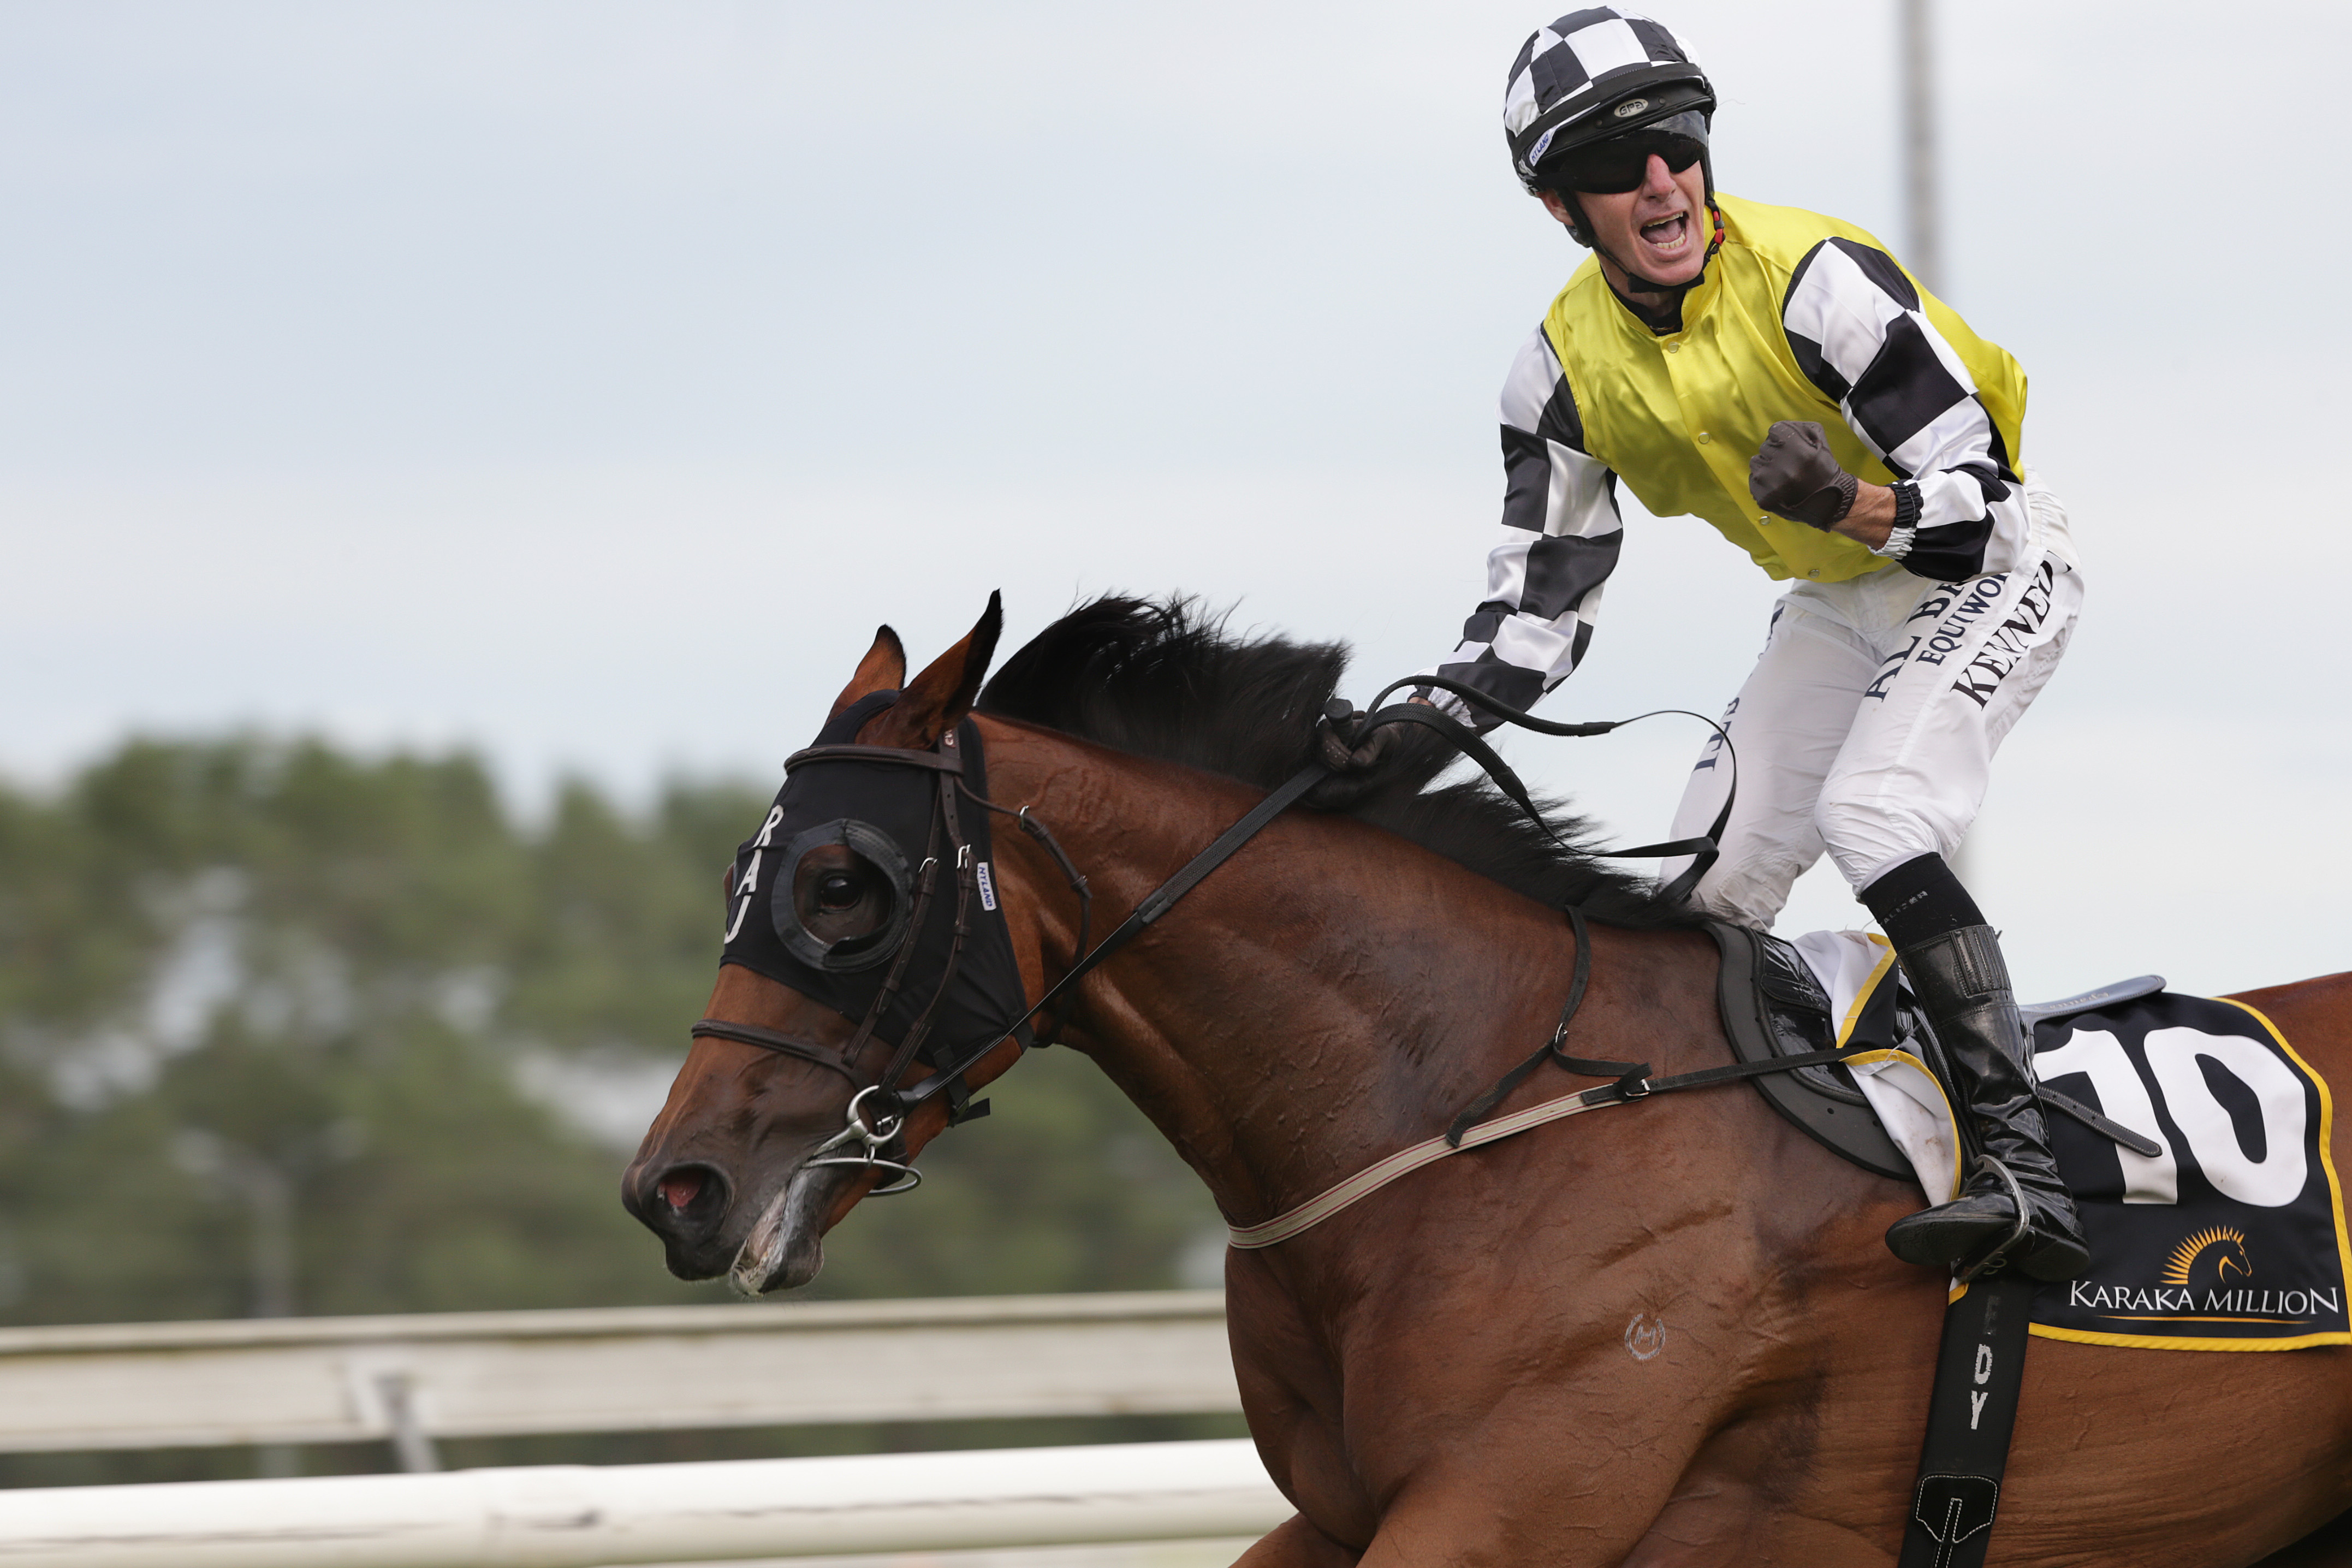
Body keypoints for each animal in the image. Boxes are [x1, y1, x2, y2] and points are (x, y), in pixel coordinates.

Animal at [623, 596, 2352, 1567]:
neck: (1468, 1112)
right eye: (741, 874)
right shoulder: (1337, 1517)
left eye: (843, 887)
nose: (674, 1188)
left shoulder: (1512, 1507)